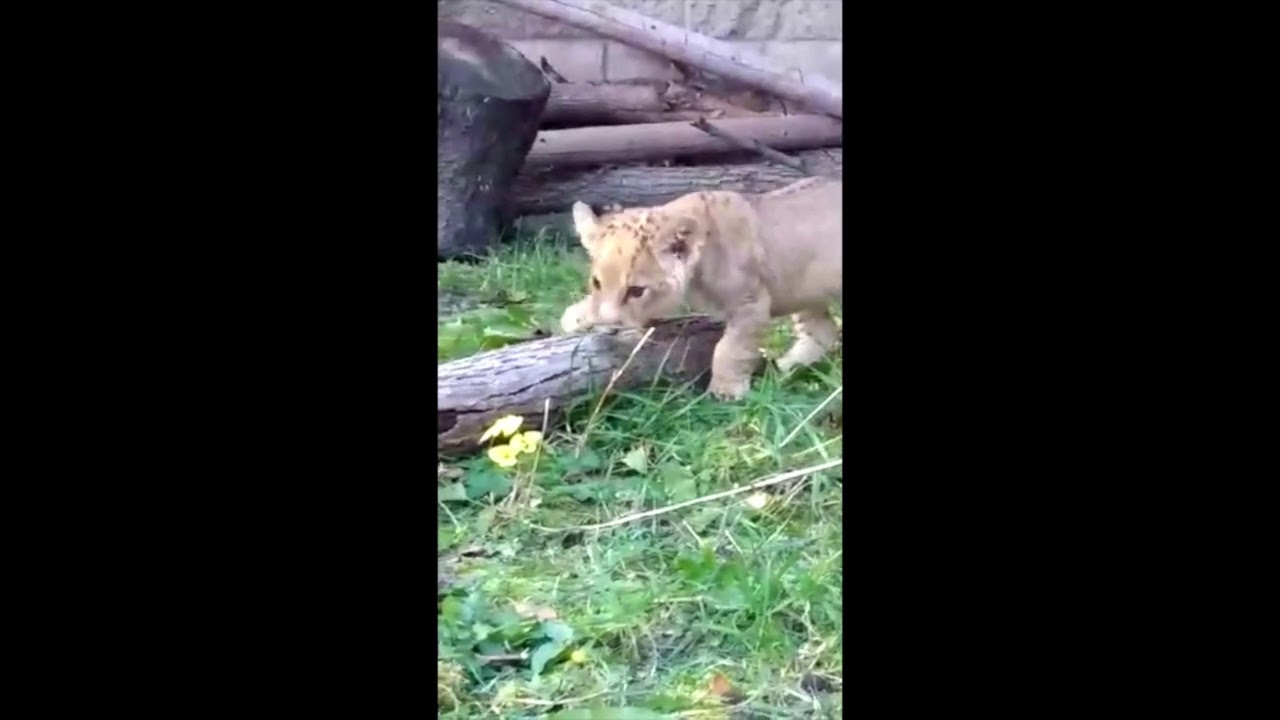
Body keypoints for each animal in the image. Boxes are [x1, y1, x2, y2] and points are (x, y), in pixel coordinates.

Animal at [559, 177, 843, 400]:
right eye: (597, 283)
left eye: (636, 291)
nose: (609, 327)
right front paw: (579, 315)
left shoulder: (752, 305)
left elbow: (730, 349)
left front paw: (725, 391)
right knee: (824, 332)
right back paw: (786, 368)